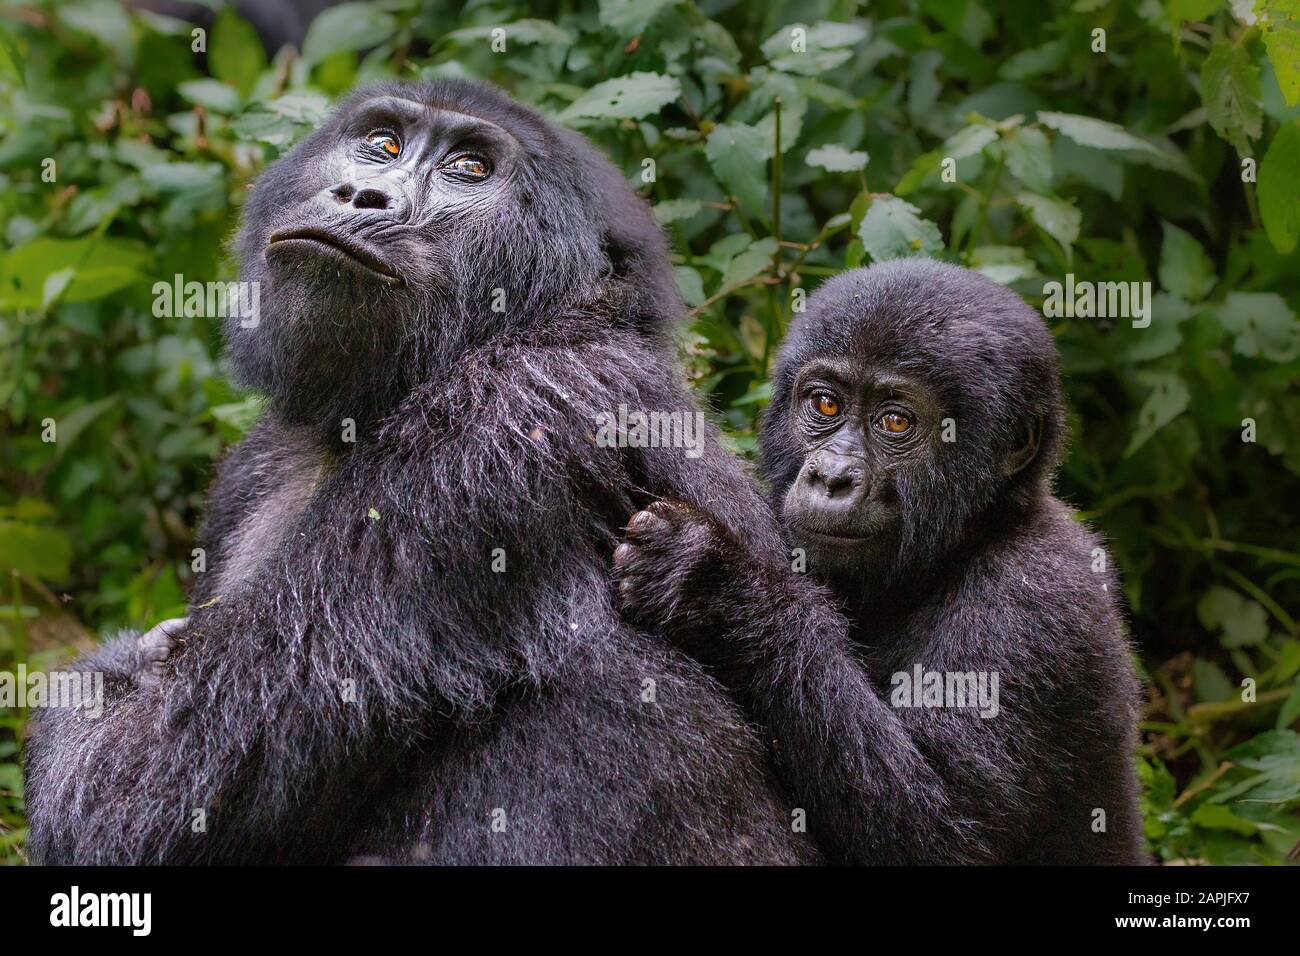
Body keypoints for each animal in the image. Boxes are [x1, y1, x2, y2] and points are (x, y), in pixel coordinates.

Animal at [25, 82, 816, 868]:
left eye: (469, 168)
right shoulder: (254, 463)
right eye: (383, 145)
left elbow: (131, 798)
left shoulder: (503, 422)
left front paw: (133, 669)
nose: (363, 193)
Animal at [618, 261, 1149, 868]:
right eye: (826, 405)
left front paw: (716, 589)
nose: (831, 477)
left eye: (895, 422)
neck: (970, 537)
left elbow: (938, 831)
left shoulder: (1036, 600)